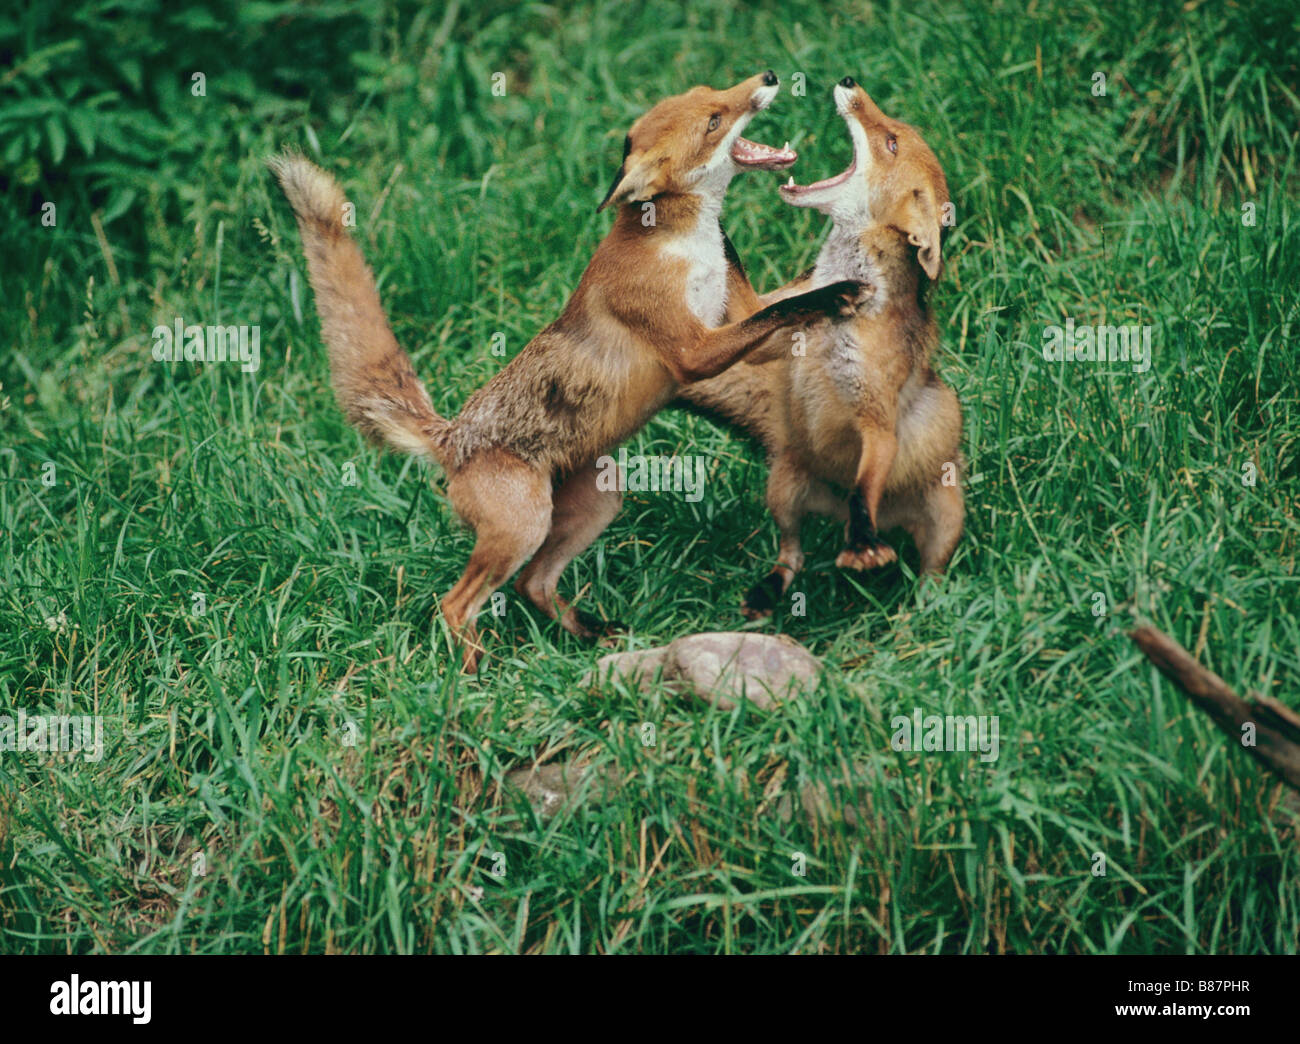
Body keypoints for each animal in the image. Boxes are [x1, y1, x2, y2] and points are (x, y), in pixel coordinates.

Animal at [270, 72, 867, 671]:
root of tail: (452, 437)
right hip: (523, 527)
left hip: (596, 504)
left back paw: (592, 635)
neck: (680, 247)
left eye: (711, 92)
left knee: (532, 584)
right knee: (456, 604)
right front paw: (838, 290)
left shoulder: (734, 323)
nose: (768, 77)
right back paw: (473, 679)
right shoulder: (692, 352)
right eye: (714, 120)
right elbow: (781, 309)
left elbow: (779, 305)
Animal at [679, 77, 965, 618]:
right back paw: (770, 590)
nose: (850, 82)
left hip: (947, 516)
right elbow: (757, 292)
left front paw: (862, 545)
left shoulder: (876, 418)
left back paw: (916, 611)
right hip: (784, 489)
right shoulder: (768, 323)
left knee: (928, 572)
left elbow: (863, 489)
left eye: (891, 142)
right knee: (792, 552)